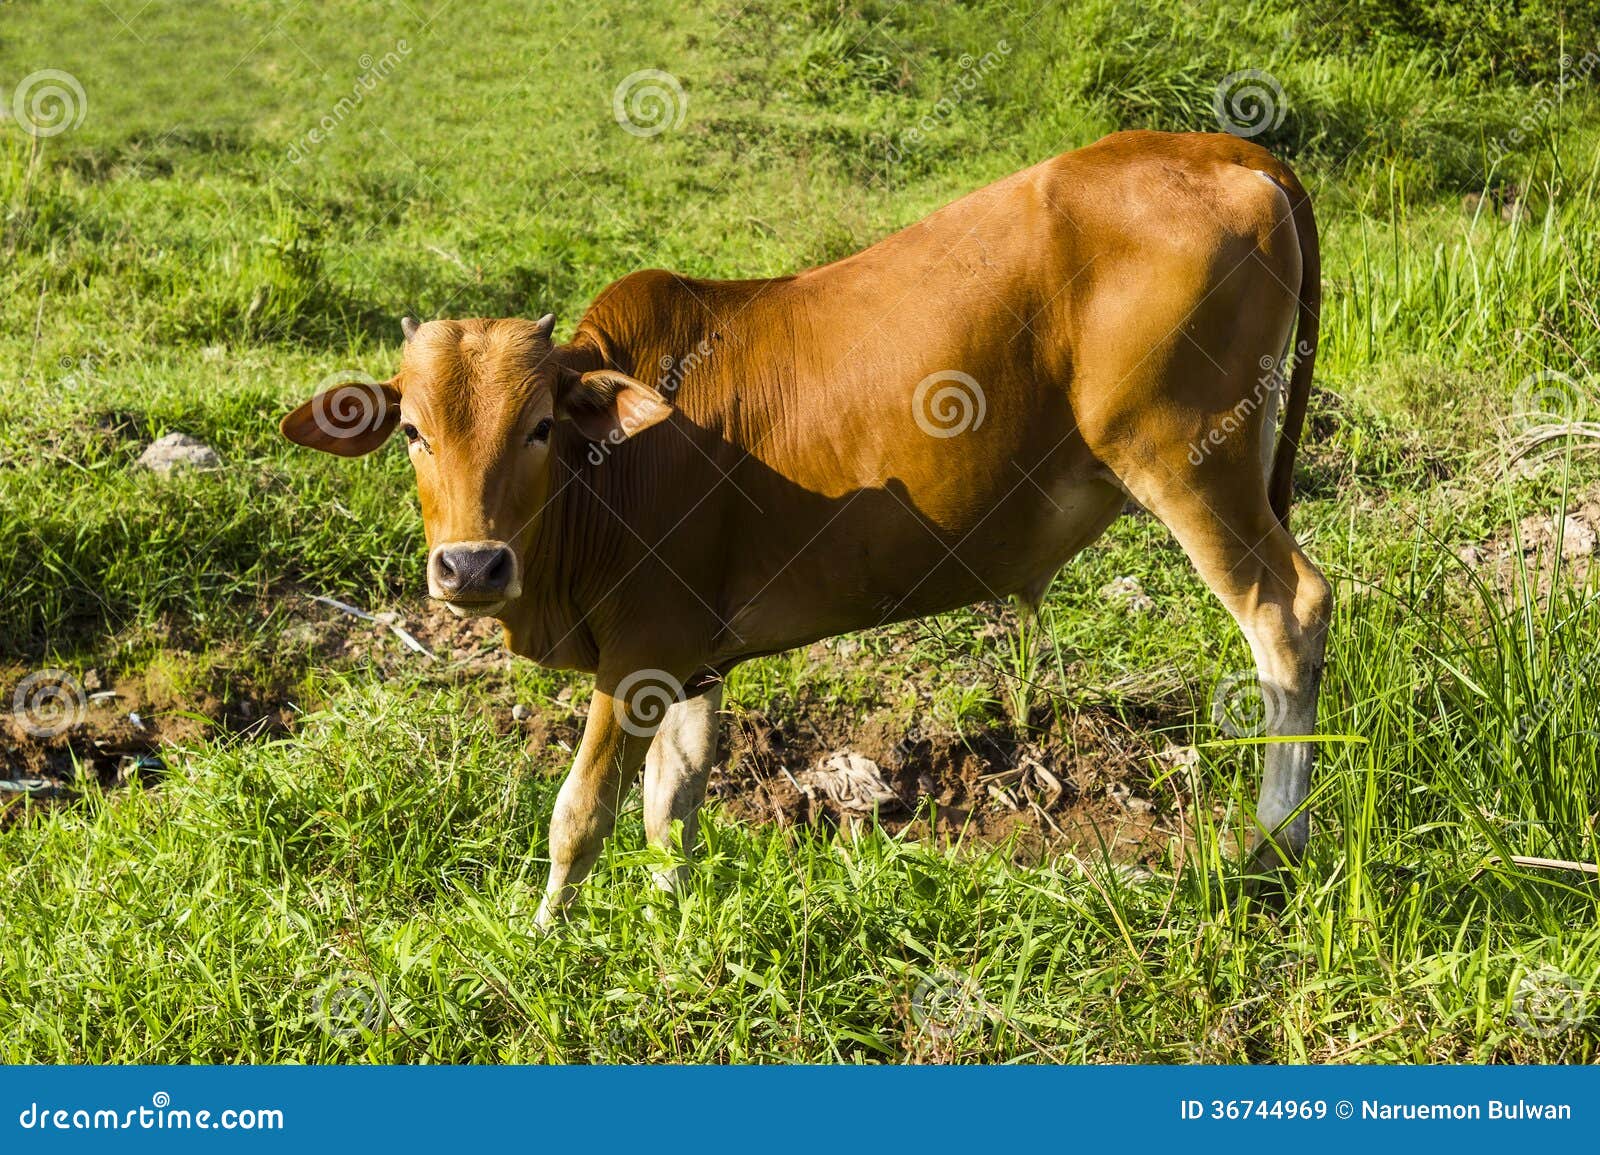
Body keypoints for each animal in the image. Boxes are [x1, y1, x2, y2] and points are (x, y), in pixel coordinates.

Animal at [281, 130, 1328, 926]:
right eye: (412, 431)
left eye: (540, 425)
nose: (470, 567)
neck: (612, 470)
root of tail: (1217, 145)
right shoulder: (690, 653)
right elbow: (670, 806)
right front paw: (668, 922)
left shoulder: (639, 652)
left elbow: (581, 811)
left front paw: (545, 937)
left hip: (1189, 461)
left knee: (1290, 613)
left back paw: (1273, 846)